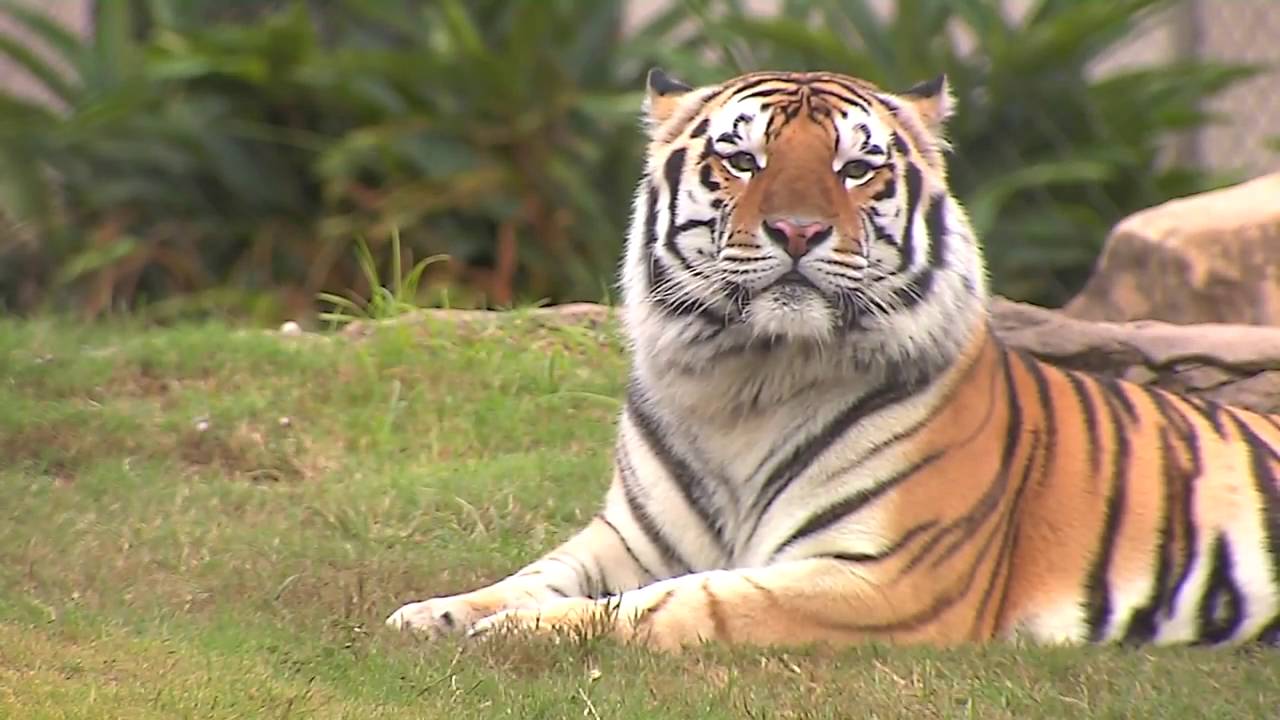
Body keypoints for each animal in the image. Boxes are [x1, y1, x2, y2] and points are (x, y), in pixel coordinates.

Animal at [386, 68, 1280, 650]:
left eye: (856, 168)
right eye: (742, 159)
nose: (797, 230)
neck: (742, 380)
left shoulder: (885, 578)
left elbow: (682, 603)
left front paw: (526, 630)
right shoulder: (629, 542)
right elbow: (532, 572)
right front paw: (436, 613)